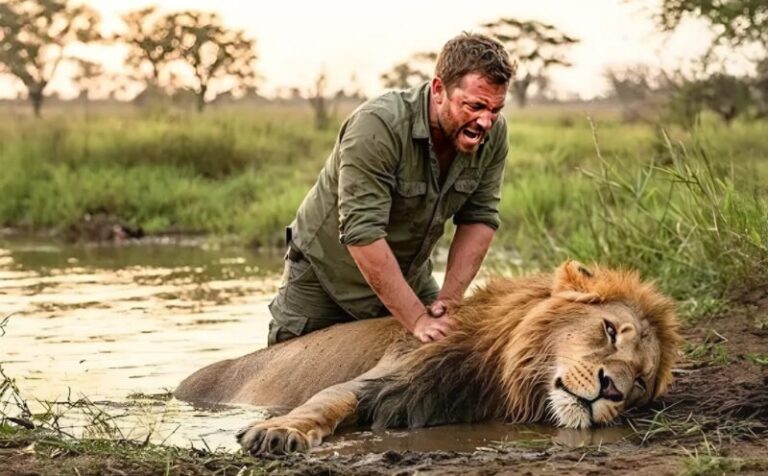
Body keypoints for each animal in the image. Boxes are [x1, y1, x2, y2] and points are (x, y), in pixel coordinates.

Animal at [175, 261, 680, 455]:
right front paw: (278, 432)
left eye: (638, 383)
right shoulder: (387, 375)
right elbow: (324, 403)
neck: (494, 373)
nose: (611, 388)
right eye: (610, 330)